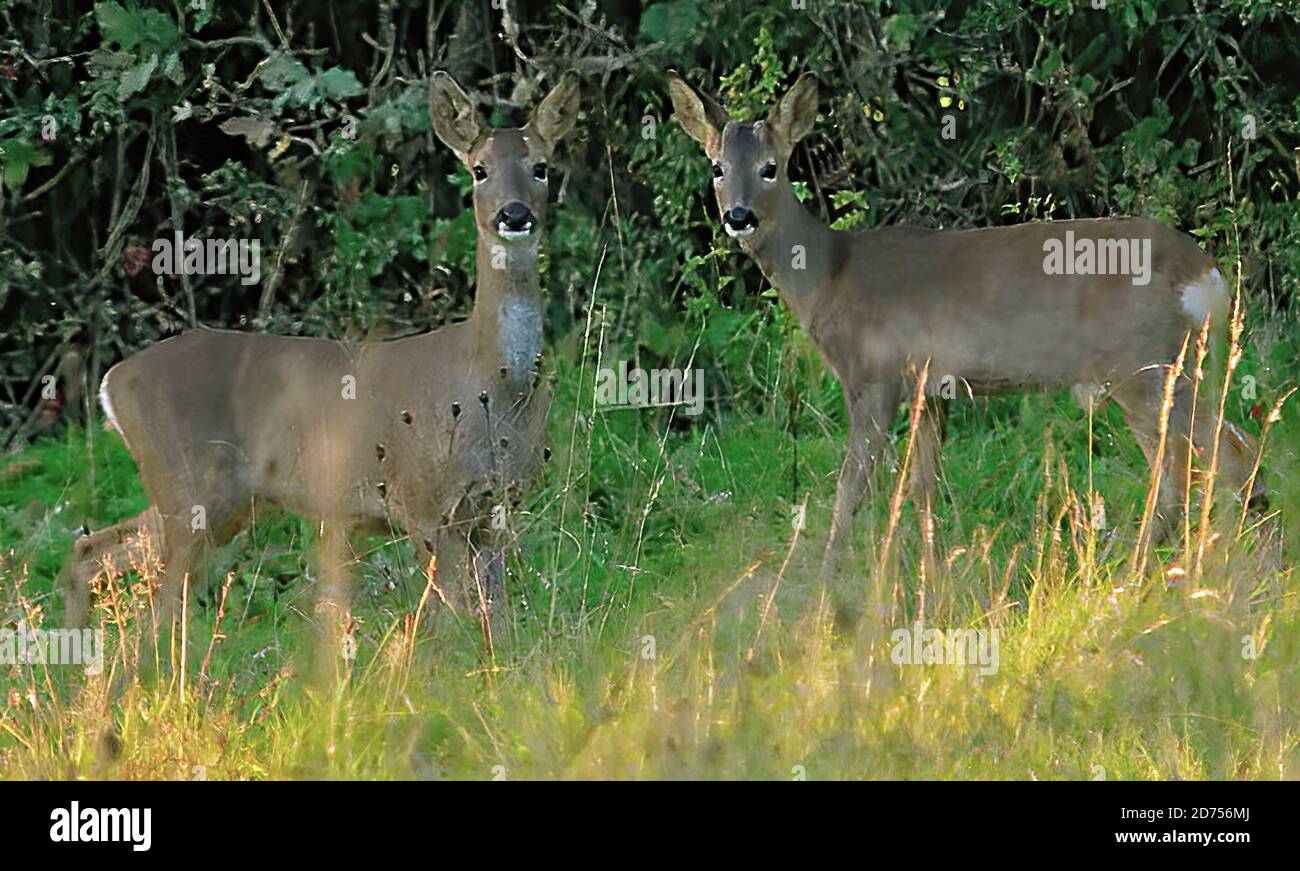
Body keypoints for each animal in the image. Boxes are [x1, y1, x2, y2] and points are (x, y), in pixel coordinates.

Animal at [64, 71, 581, 643]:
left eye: (541, 166)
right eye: (479, 168)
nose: (515, 215)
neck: (490, 379)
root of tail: (112, 381)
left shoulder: (494, 510)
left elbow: (498, 621)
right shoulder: (423, 501)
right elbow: (456, 620)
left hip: (216, 502)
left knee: (89, 551)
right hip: (188, 491)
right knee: (155, 610)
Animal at [667, 71, 1268, 571]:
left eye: (771, 167)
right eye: (717, 167)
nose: (737, 216)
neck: (831, 275)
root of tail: (1207, 276)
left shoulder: (875, 377)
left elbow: (850, 491)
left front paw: (824, 584)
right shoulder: (931, 391)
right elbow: (924, 490)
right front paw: (931, 581)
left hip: (1144, 366)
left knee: (1214, 464)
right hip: (1168, 368)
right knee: (1215, 461)